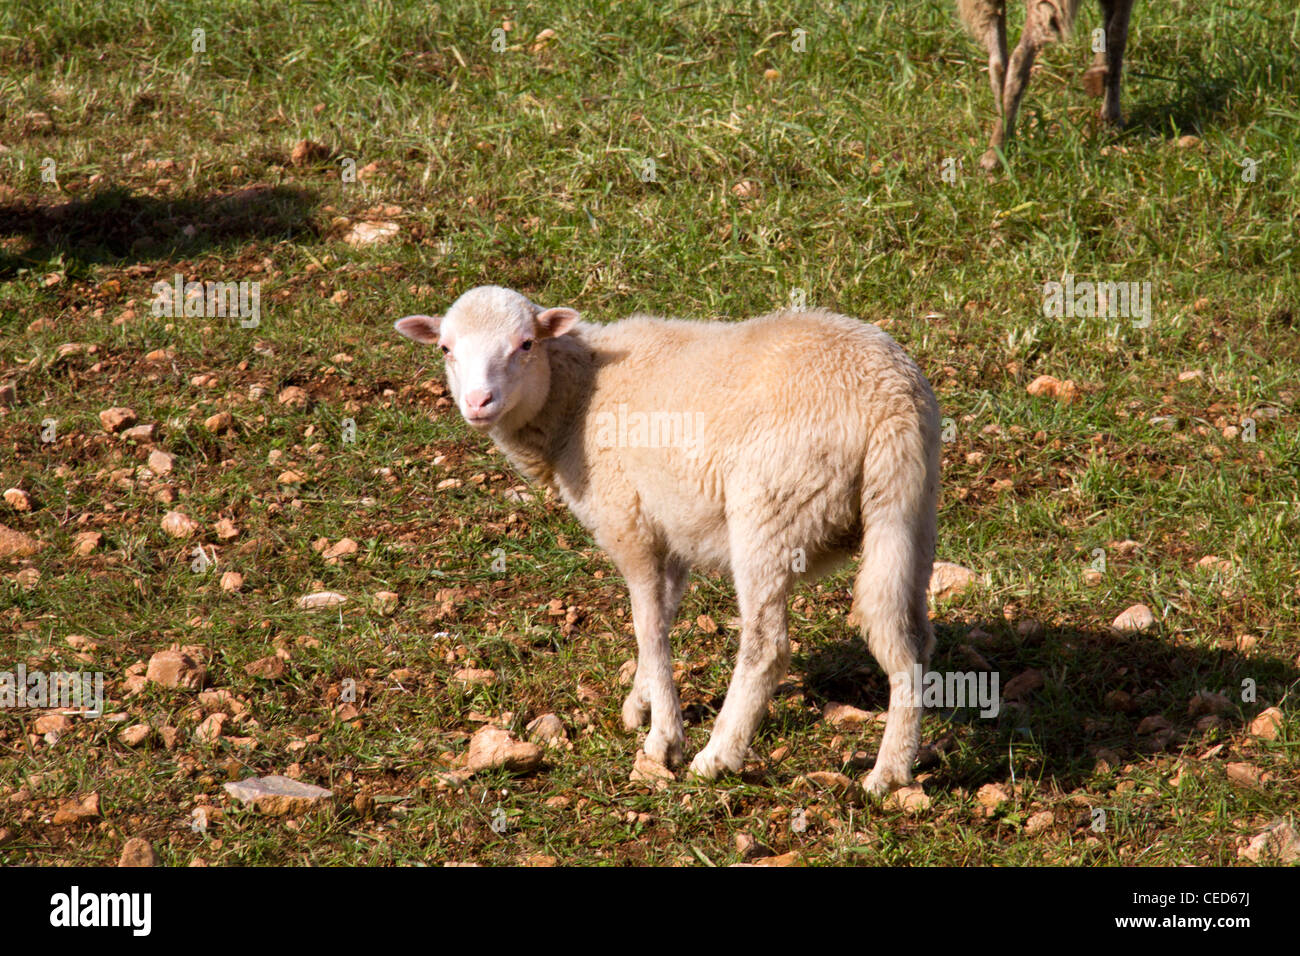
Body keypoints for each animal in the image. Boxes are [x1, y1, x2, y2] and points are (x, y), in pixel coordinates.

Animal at [394, 286, 941, 794]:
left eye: (526, 343)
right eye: (445, 348)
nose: (478, 403)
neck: (579, 394)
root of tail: (889, 406)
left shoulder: (628, 523)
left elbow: (648, 626)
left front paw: (663, 739)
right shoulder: (672, 527)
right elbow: (666, 611)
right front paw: (641, 703)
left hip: (772, 507)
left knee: (766, 647)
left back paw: (718, 756)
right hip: (909, 512)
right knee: (909, 639)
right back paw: (892, 771)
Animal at [958, 0, 1136, 169]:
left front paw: (1097, 74)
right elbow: (1117, 35)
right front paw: (1112, 120)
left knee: (997, 60)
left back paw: (1004, 135)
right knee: (1020, 55)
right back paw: (995, 154)